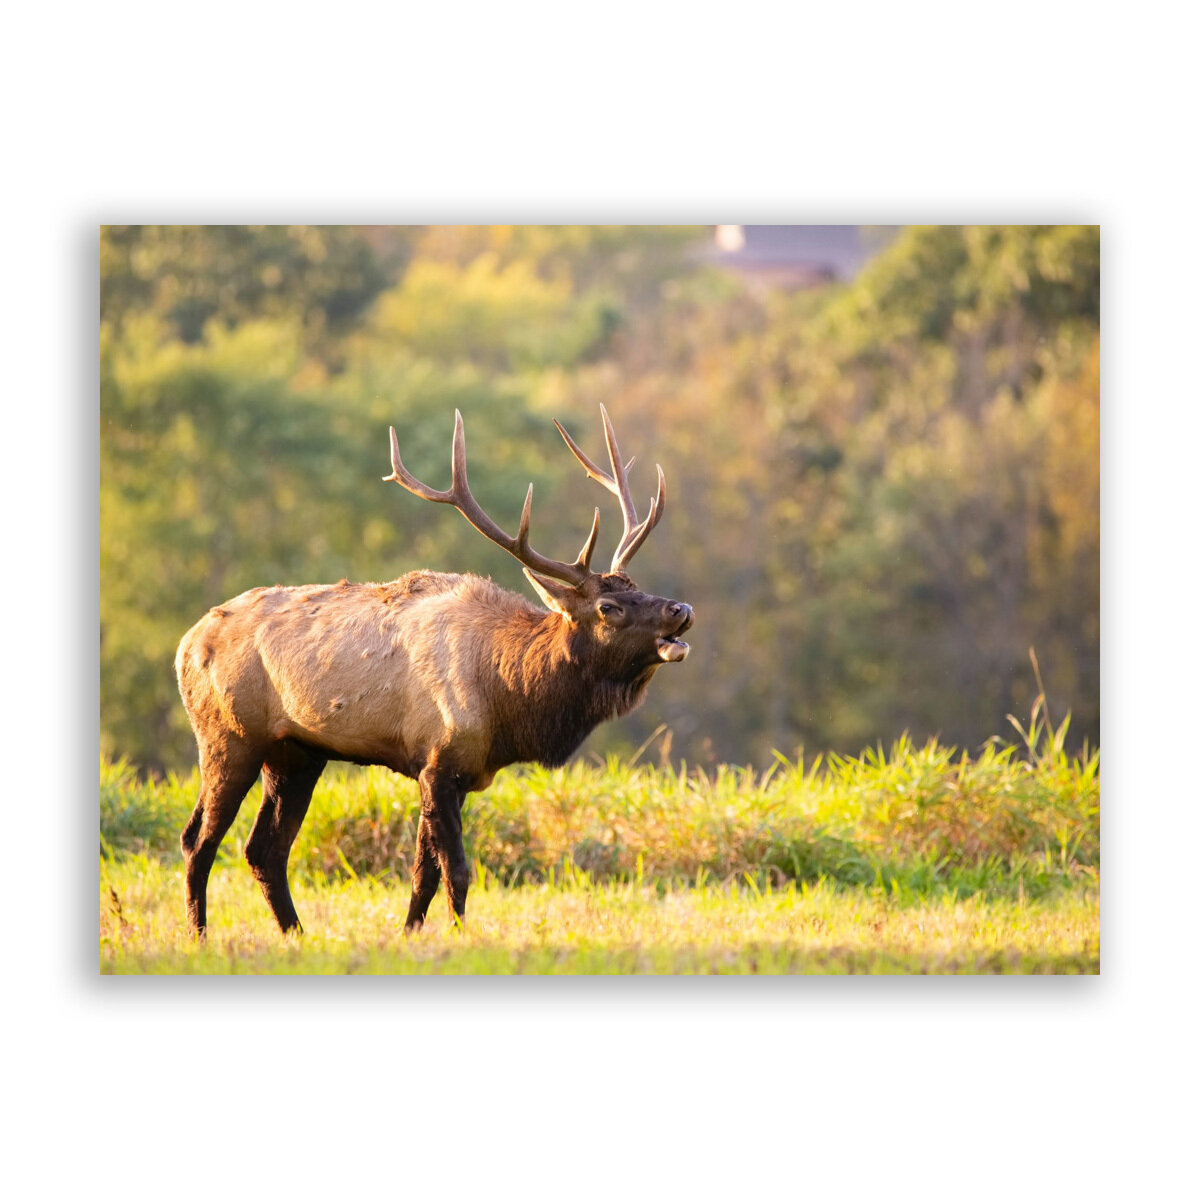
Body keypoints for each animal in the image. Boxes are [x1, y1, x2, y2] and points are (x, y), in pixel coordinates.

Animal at [175, 406, 693, 938]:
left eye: (637, 585)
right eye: (609, 607)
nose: (681, 609)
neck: (509, 700)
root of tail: (186, 644)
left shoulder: (453, 772)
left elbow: (423, 872)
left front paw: (410, 933)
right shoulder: (438, 761)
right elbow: (457, 870)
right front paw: (459, 936)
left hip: (295, 753)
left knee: (264, 849)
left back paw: (295, 933)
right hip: (228, 736)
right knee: (199, 840)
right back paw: (199, 934)